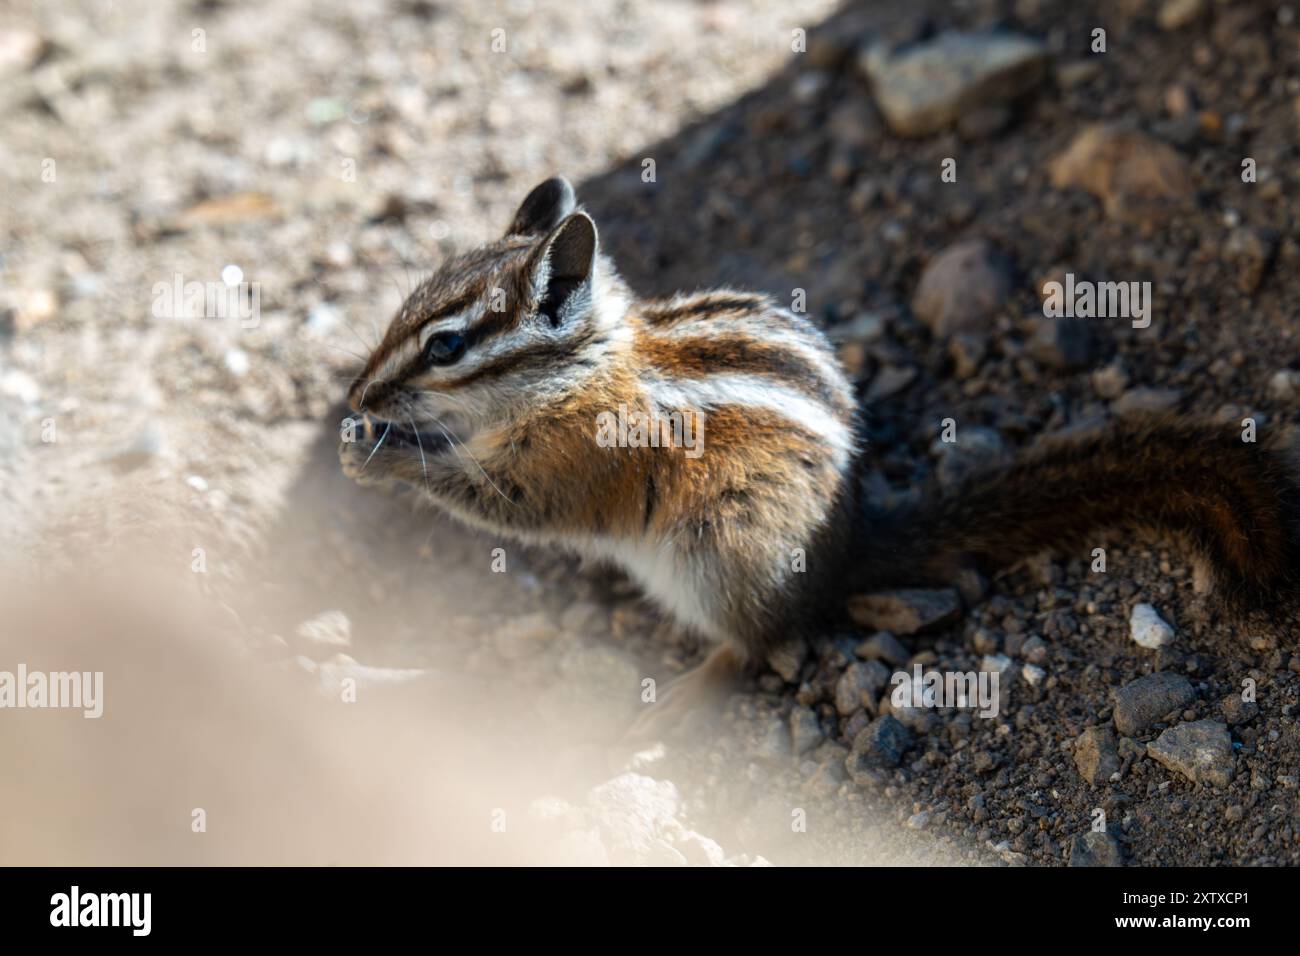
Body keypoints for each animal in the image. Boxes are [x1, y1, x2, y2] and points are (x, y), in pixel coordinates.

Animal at [340, 176, 1300, 729]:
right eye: (403, 312)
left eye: (446, 347)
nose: (356, 397)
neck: (586, 370)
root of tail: (846, 549)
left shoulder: (577, 463)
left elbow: (512, 505)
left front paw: (384, 453)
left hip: (720, 554)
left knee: (758, 644)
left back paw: (683, 698)